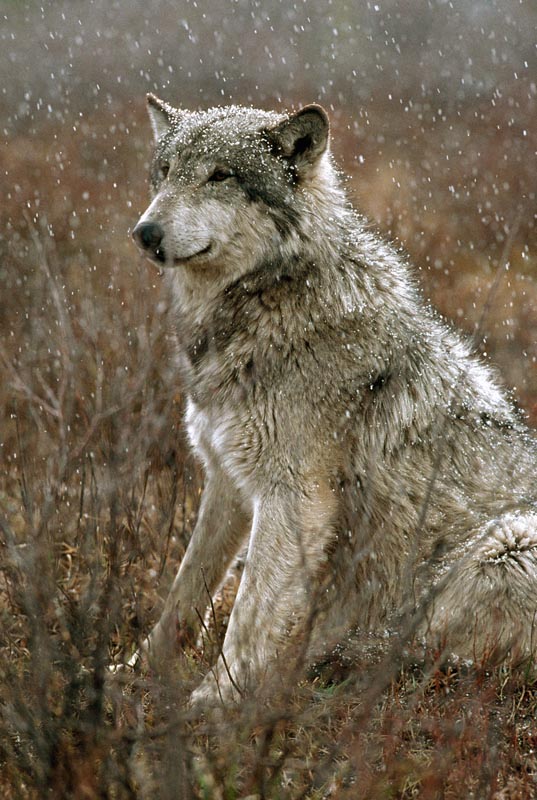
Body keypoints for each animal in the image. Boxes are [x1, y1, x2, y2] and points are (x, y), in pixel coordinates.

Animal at [131, 94, 537, 706]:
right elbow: (184, 595)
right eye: (165, 172)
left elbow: (247, 617)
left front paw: (212, 706)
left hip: (508, 542)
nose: (145, 232)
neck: (271, 301)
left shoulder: (295, 497)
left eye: (220, 176)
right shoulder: (226, 480)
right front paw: (128, 678)